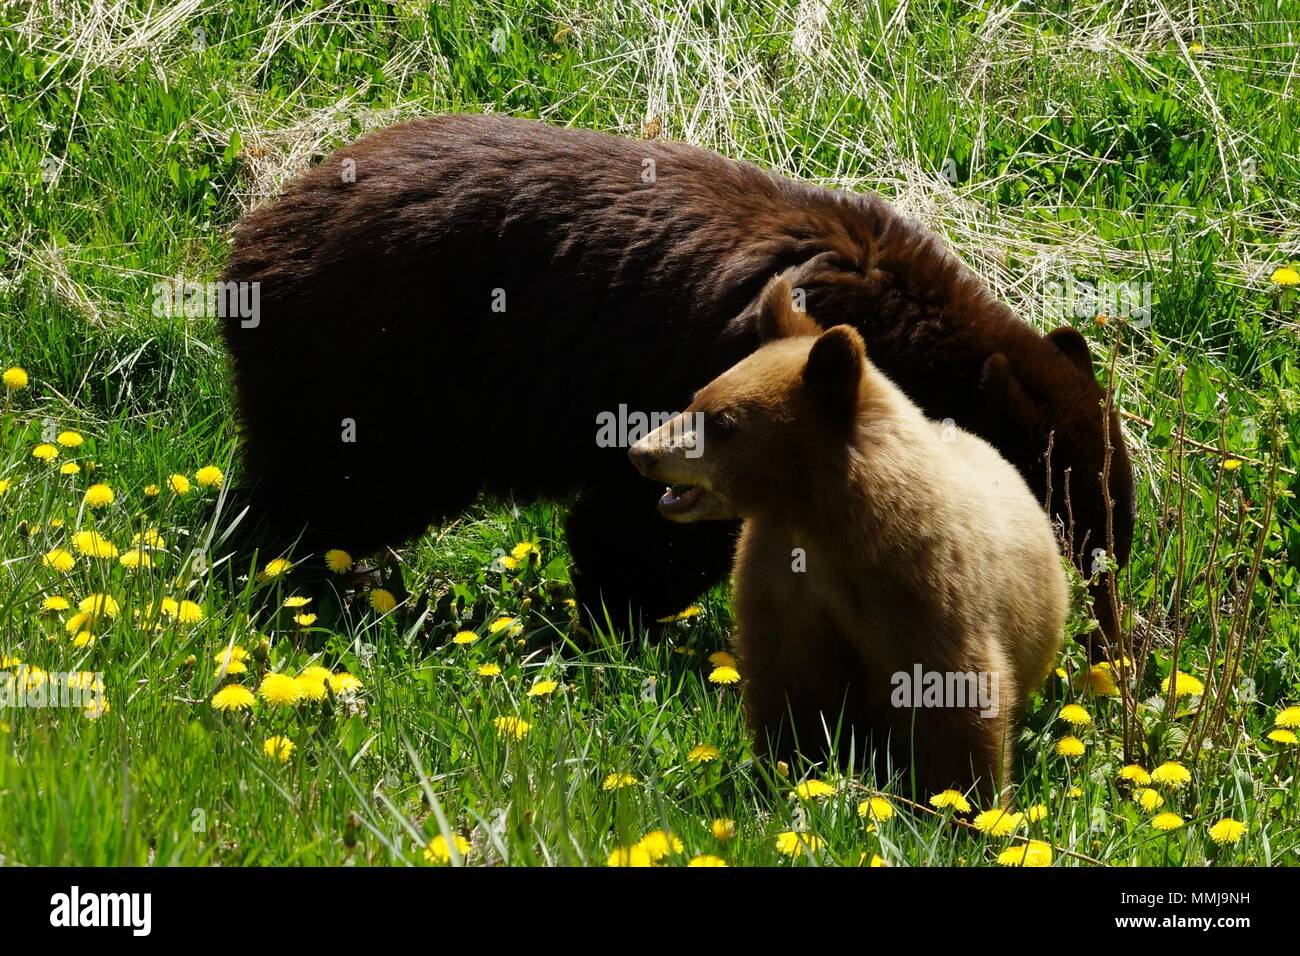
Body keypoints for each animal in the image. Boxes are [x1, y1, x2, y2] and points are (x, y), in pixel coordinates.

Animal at [218, 113, 1130, 645]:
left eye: (1118, 515)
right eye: (1083, 515)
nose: (1110, 624)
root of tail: (253, 240)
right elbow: (644, 522)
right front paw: (621, 621)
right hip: (377, 379)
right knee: (318, 486)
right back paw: (286, 575)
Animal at [628, 277, 1068, 803]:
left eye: (722, 422)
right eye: (696, 398)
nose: (642, 452)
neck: (826, 521)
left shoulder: (927, 586)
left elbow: (953, 688)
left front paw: (963, 802)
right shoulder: (781, 578)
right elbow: (789, 680)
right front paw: (789, 769)